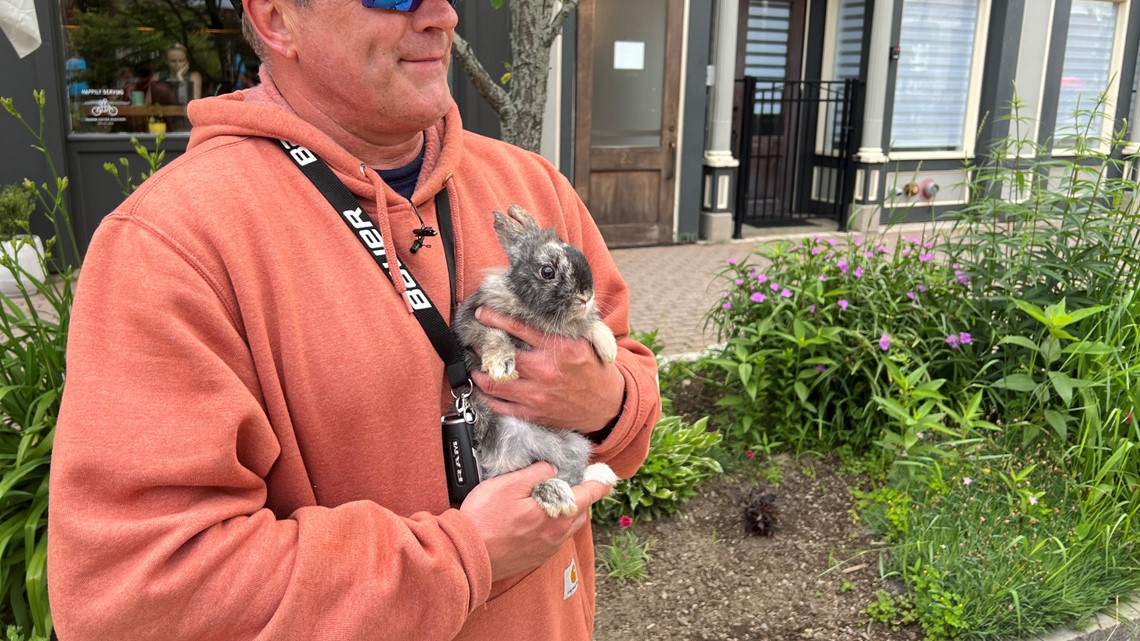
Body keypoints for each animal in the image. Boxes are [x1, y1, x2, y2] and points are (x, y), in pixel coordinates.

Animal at [452, 204, 619, 517]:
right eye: (547, 271)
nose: (586, 296)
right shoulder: (473, 323)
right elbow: (493, 336)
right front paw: (501, 365)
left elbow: (591, 325)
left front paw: (608, 348)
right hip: (506, 450)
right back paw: (556, 494)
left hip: (572, 443)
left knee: (572, 472)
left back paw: (601, 474)